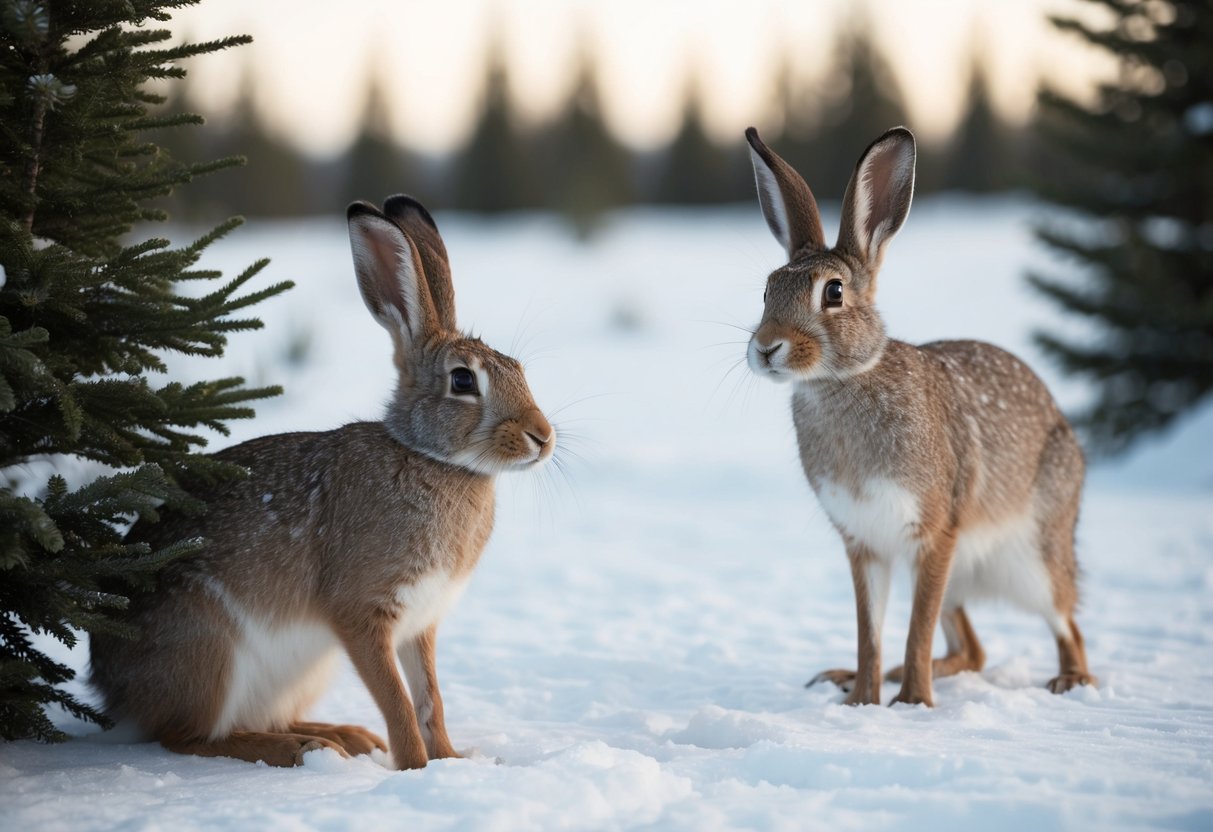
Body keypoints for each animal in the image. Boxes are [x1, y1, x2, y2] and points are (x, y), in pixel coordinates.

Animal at [89, 195, 556, 768]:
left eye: (519, 369)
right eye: (463, 380)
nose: (543, 437)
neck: (431, 458)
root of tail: (111, 689)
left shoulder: (420, 624)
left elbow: (431, 699)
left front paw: (450, 762)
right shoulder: (361, 614)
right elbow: (399, 702)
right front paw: (416, 768)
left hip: (303, 672)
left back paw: (340, 737)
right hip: (209, 647)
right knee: (189, 737)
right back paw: (301, 748)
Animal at [742, 126, 1095, 706]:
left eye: (833, 292)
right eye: (767, 289)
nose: (767, 348)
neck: (844, 382)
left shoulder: (933, 533)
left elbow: (915, 629)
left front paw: (913, 705)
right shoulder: (865, 544)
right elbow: (870, 632)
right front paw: (861, 701)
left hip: (1033, 560)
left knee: (1067, 623)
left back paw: (1069, 681)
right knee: (973, 648)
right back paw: (852, 677)